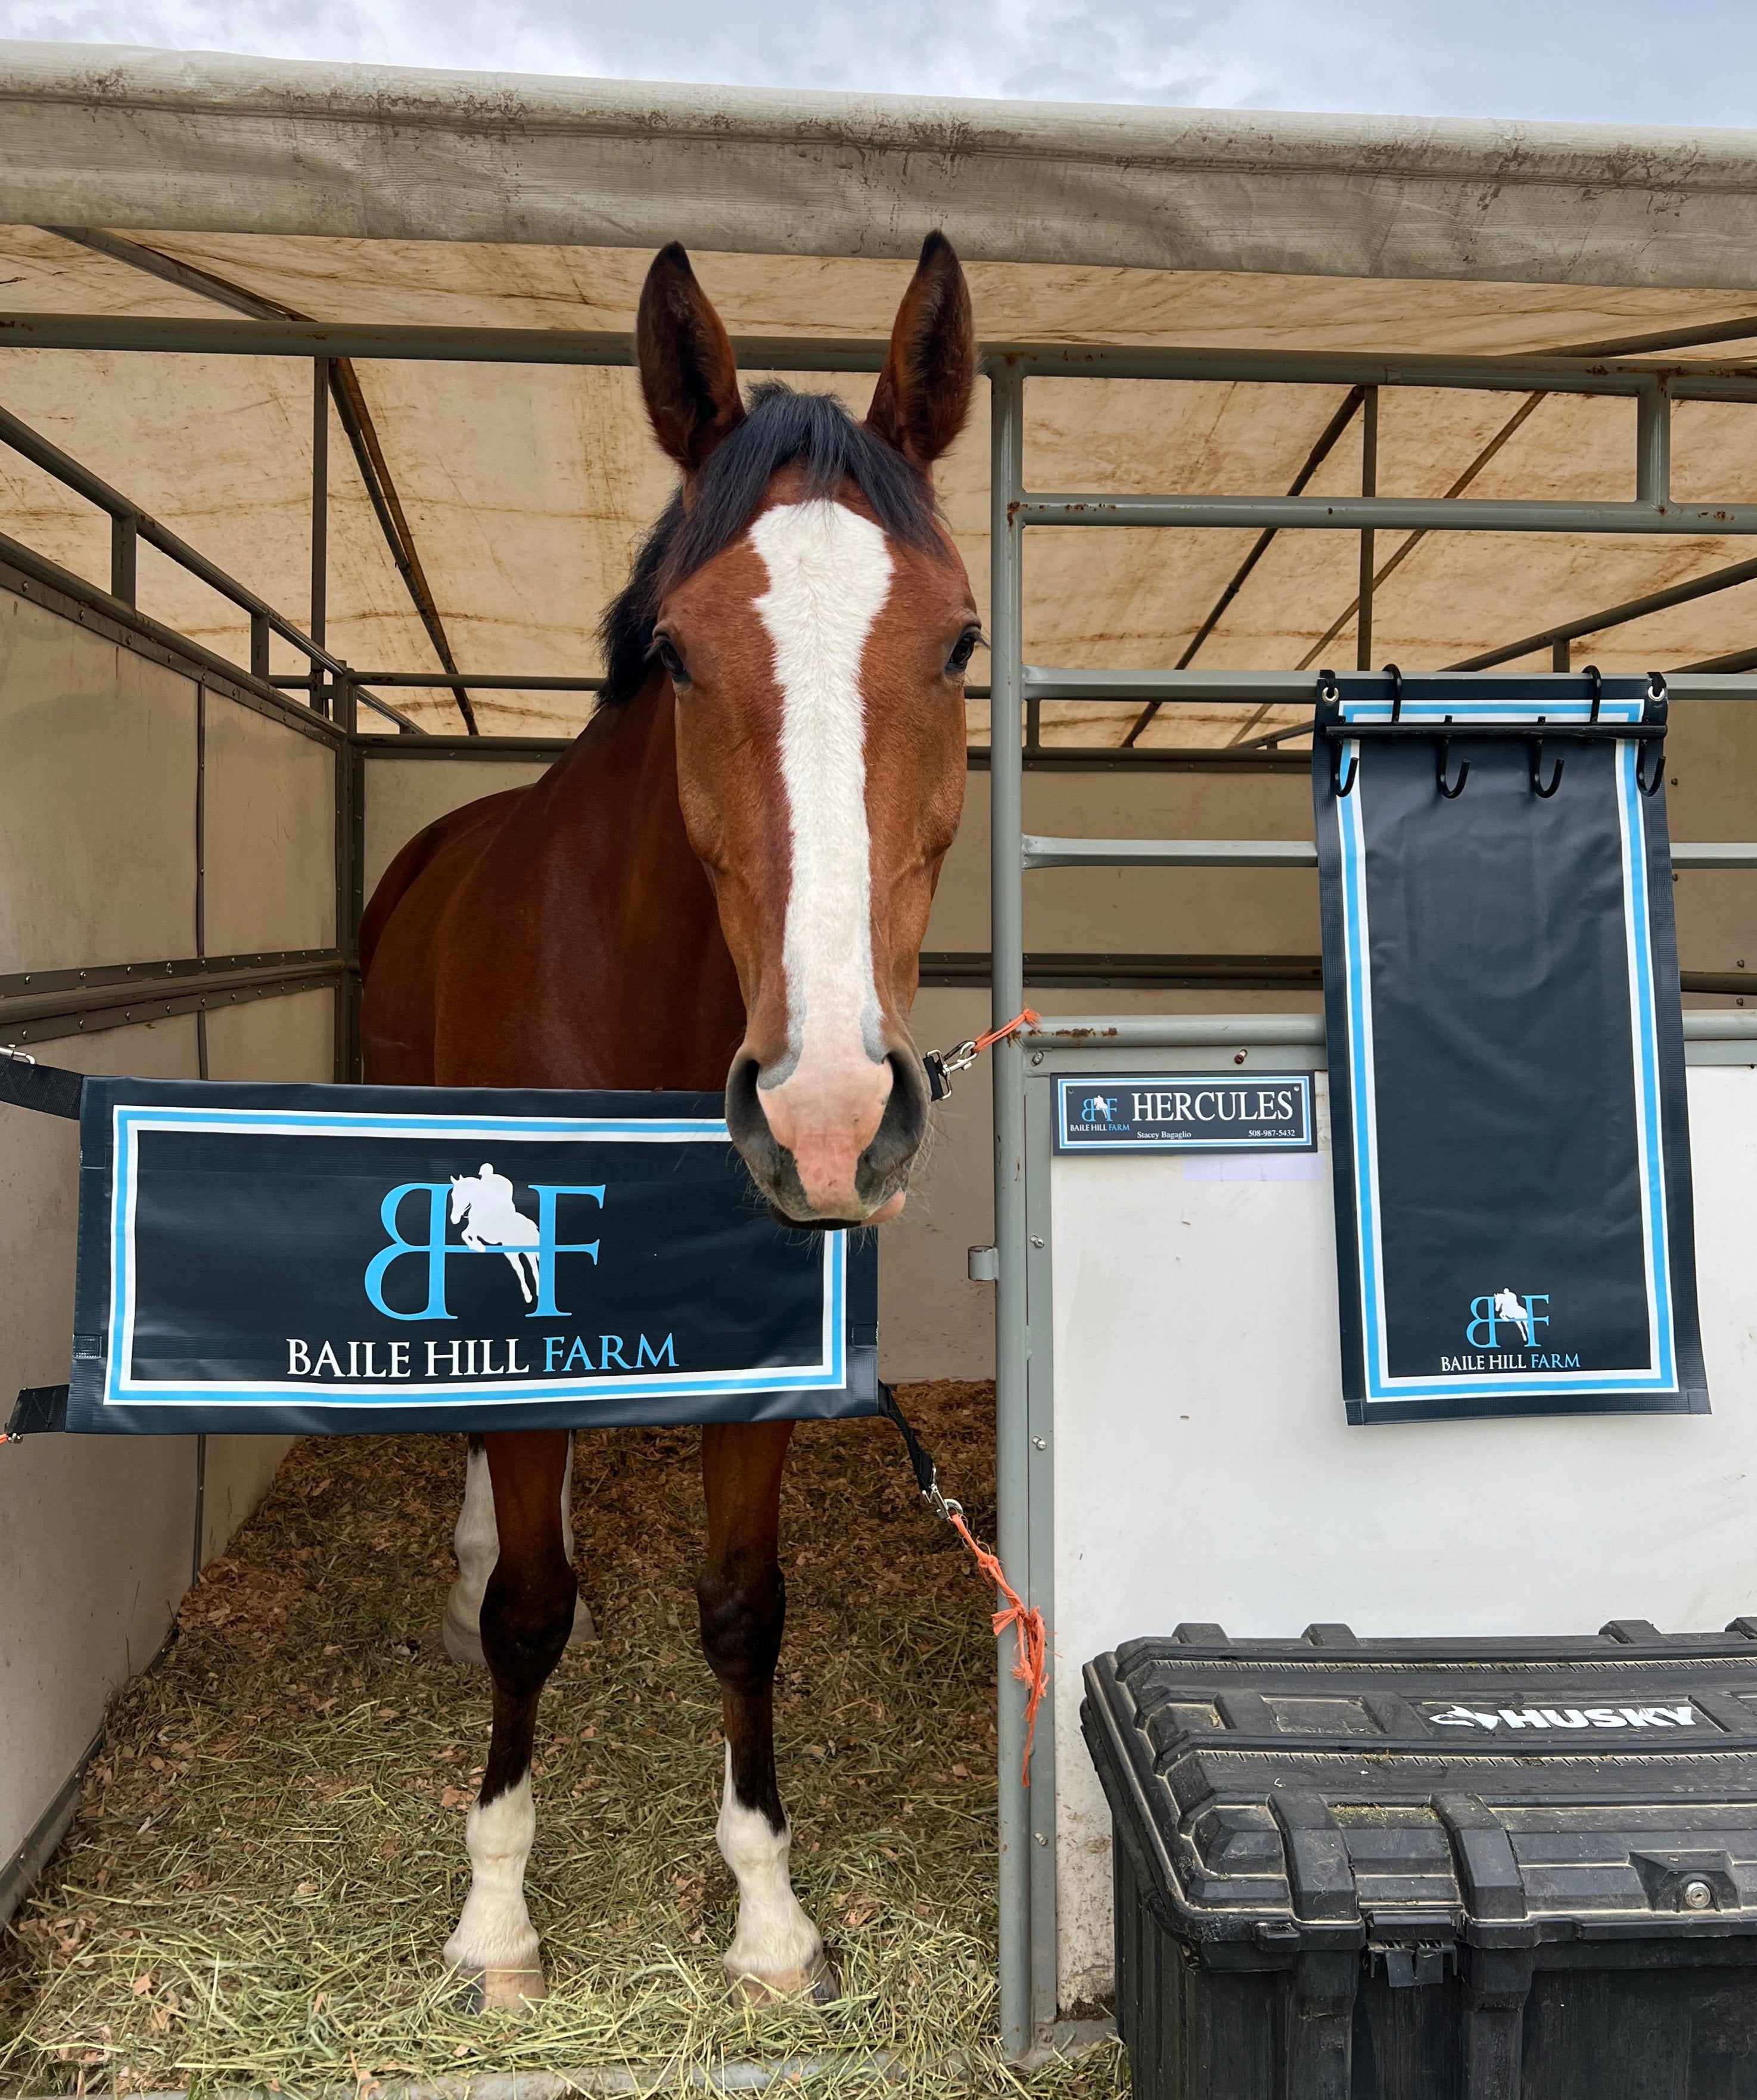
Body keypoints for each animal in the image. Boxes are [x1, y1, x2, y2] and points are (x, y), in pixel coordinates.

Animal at [357, 232, 977, 2010]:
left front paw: (768, 1913)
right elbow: (532, 1614)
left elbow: (743, 1604)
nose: (832, 1117)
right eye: (682, 651)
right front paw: (495, 1918)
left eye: (960, 644)